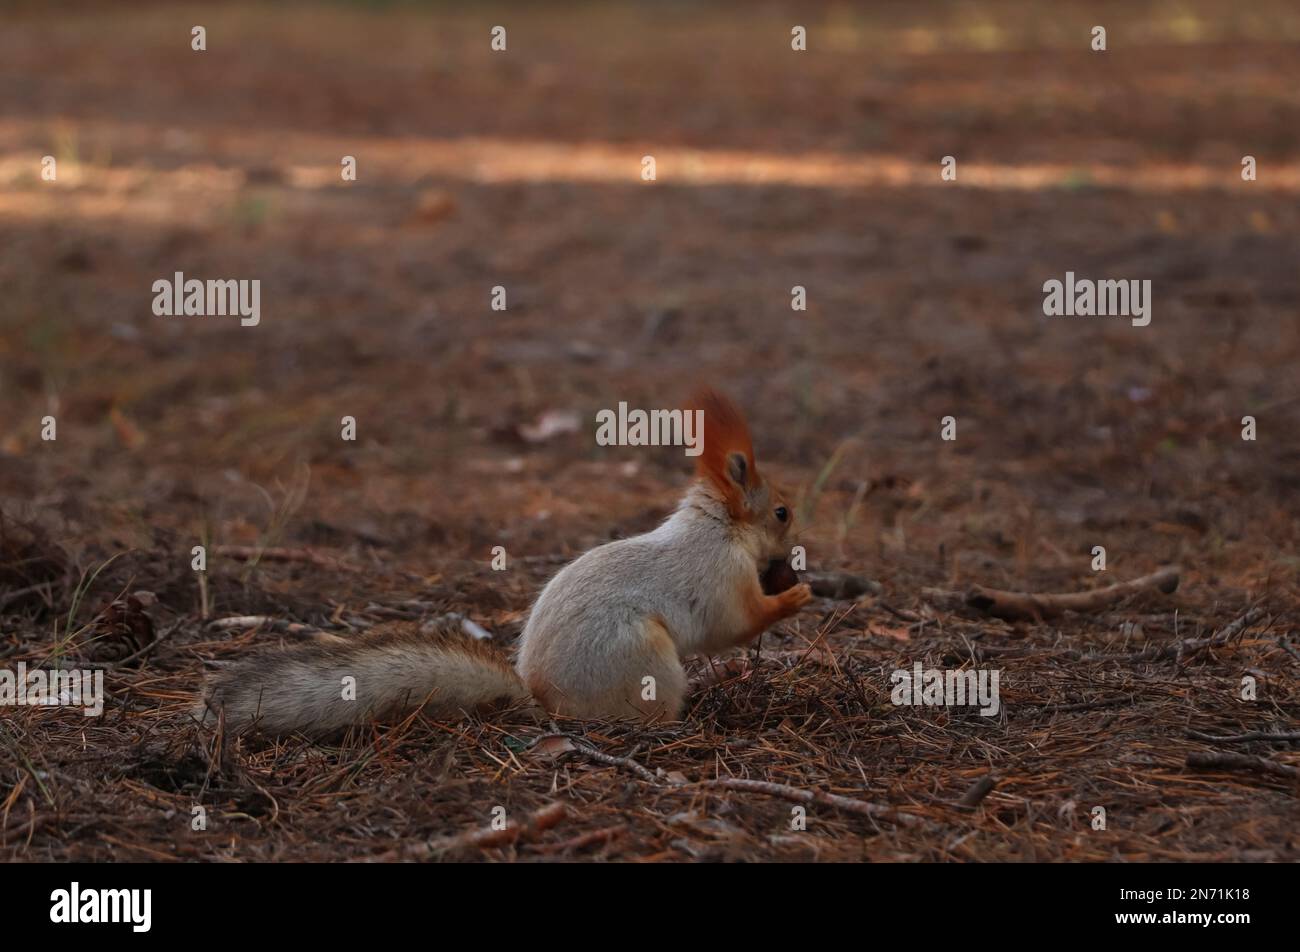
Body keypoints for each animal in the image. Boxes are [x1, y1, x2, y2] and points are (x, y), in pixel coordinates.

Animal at [198, 389, 812, 734]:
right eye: (782, 512)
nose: (796, 552)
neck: (718, 528)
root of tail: (544, 703)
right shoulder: (719, 576)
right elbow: (734, 622)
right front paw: (793, 597)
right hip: (643, 658)